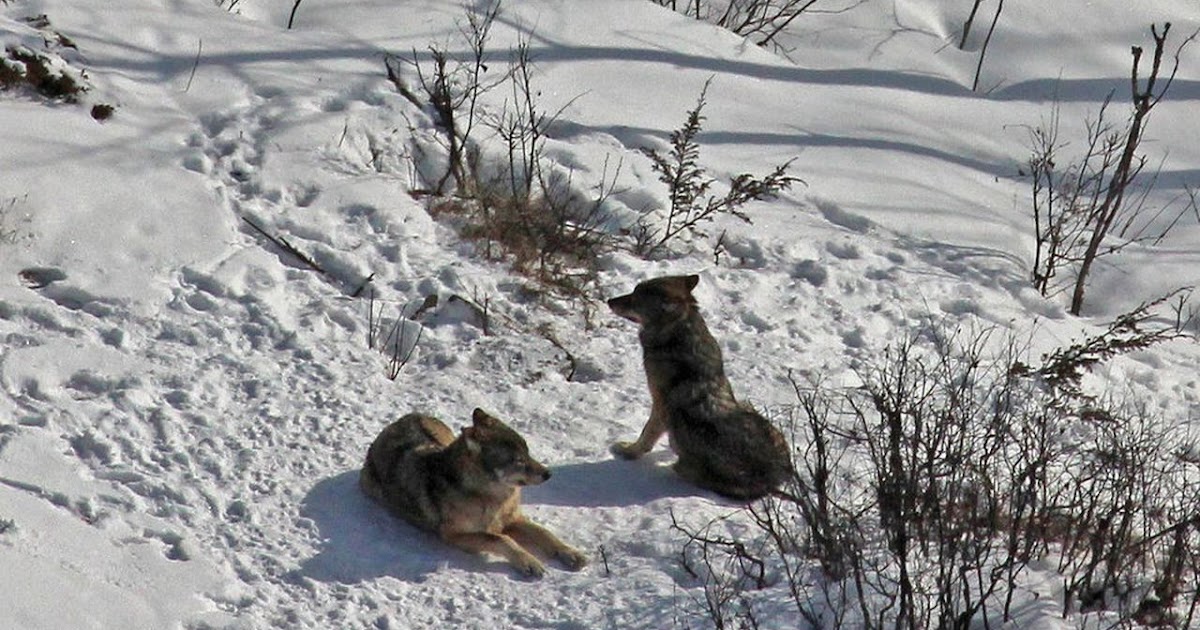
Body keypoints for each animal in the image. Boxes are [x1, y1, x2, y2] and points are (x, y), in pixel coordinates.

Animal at [360, 407, 587, 578]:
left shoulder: (514, 519)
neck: (491, 497)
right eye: (518, 460)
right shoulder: (455, 535)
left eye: (528, 453)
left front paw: (570, 553)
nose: (549, 474)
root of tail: (405, 417)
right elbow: (502, 539)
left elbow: (546, 534)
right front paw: (529, 561)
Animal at [607, 274, 792, 500]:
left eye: (635, 297)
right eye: (633, 291)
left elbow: (646, 435)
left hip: (685, 466)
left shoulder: (660, 406)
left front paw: (628, 451)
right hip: (749, 407)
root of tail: (772, 479)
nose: (609, 301)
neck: (678, 333)